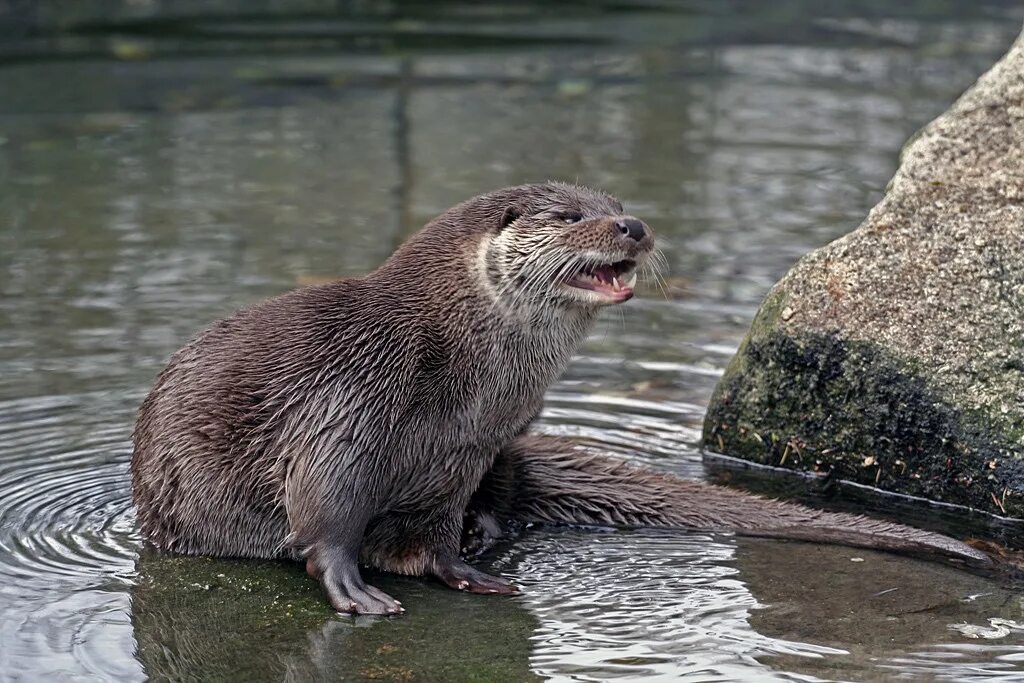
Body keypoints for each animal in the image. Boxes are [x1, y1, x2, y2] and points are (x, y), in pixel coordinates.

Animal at [132, 180, 987, 614]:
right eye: (574, 217)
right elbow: (325, 505)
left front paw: (461, 566)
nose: (632, 225)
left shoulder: (465, 451)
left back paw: (486, 533)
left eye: (616, 205)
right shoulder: (349, 406)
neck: (458, 369)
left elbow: (432, 527)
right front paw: (351, 584)